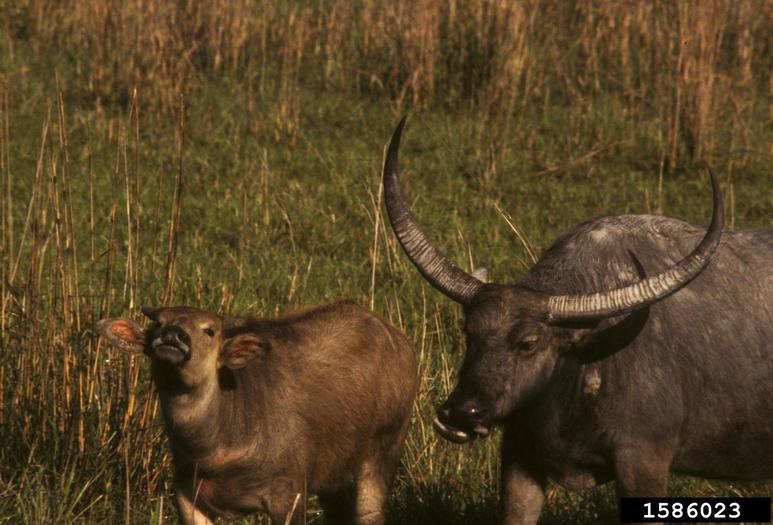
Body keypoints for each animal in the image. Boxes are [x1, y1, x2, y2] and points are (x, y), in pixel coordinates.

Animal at [97, 301, 417, 525]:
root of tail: (398, 340)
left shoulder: (288, 495)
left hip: (382, 454)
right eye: (158, 323)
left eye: (209, 330)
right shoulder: (187, 496)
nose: (172, 336)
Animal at [382, 117, 773, 524]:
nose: (460, 412)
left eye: (528, 343)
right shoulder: (520, 457)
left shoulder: (642, 461)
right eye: (469, 332)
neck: (585, 359)